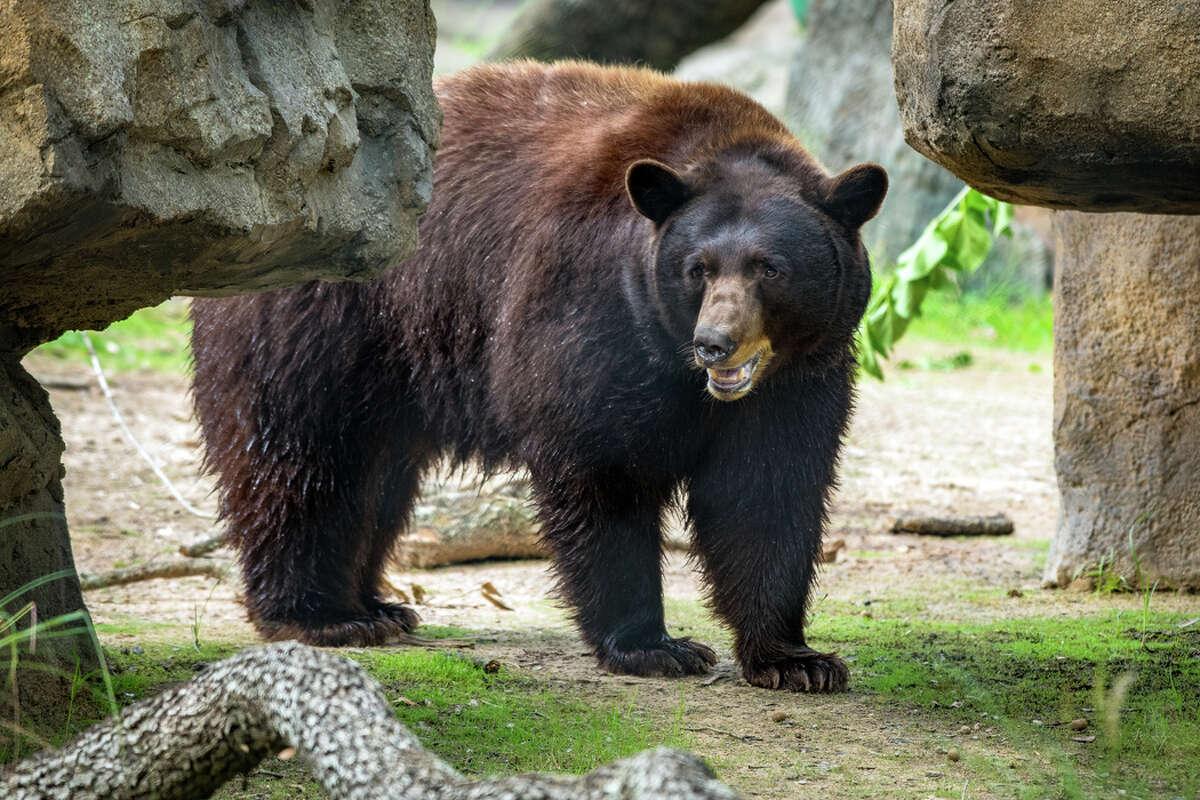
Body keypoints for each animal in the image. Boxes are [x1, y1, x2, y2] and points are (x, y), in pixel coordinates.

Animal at [190, 60, 887, 692]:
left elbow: (769, 490)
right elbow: (602, 467)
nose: (714, 344)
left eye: (770, 267)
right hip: (325, 319)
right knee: (305, 457)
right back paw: (324, 615)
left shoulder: (796, 379)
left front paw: (794, 658)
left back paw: (375, 605)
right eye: (698, 267)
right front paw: (653, 645)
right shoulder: (586, 306)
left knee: (375, 474)